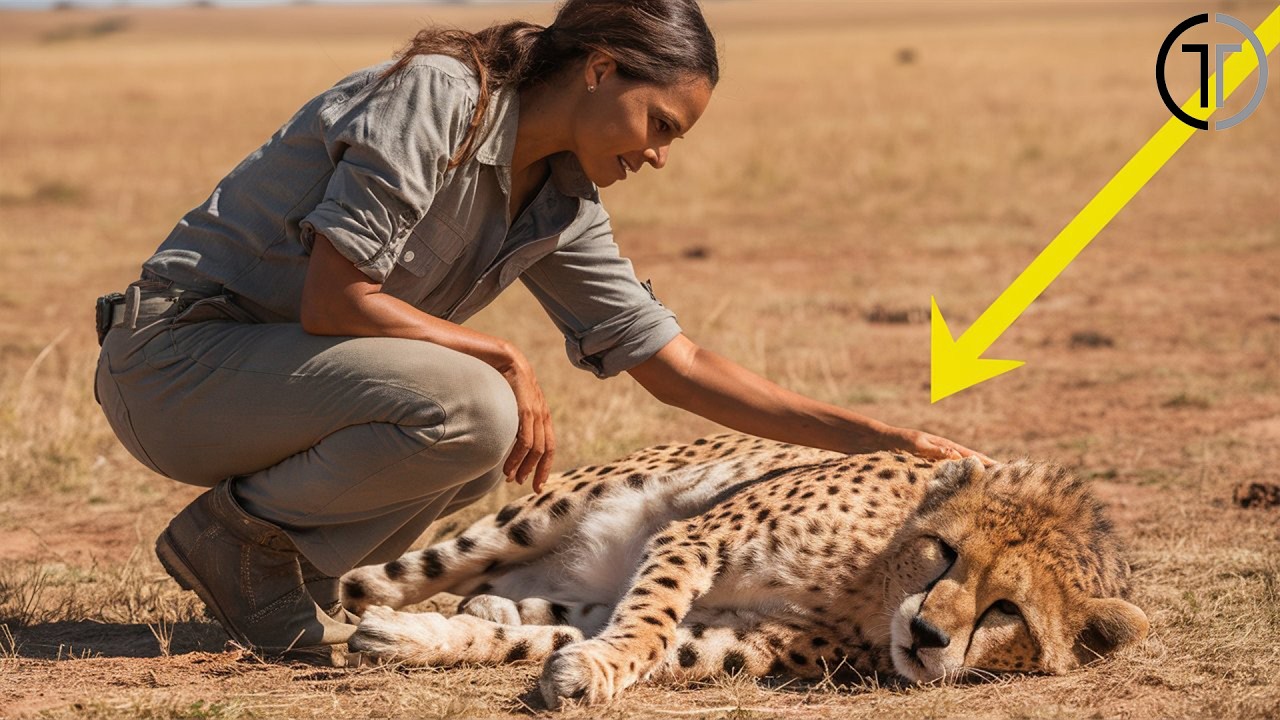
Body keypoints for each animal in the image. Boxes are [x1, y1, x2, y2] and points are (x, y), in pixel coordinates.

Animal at [338, 433, 1148, 708]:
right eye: (947, 552)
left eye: (1007, 610)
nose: (925, 636)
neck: (873, 583)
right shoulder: (697, 534)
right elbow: (650, 621)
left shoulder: (743, 644)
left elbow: (649, 645)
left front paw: (582, 671)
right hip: (540, 514)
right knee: (373, 579)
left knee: (524, 612)